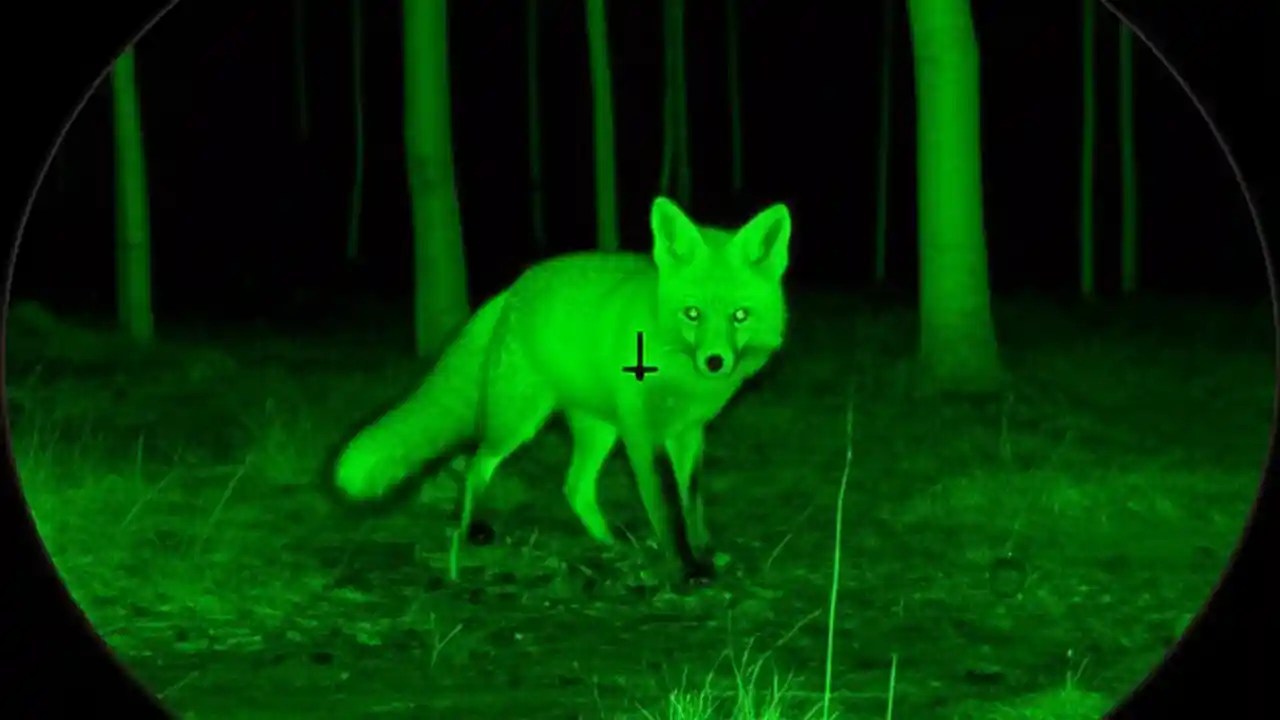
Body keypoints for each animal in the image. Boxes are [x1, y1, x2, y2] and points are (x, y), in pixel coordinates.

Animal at [333, 196, 792, 580]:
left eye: (740, 315)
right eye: (692, 313)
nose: (715, 362)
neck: (678, 367)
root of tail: (515, 285)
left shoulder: (688, 433)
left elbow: (691, 504)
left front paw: (703, 553)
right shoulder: (644, 432)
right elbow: (667, 507)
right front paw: (686, 568)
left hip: (598, 429)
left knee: (574, 486)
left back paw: (610, 543)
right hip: (519, 421)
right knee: (475, 464)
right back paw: (467, 535)